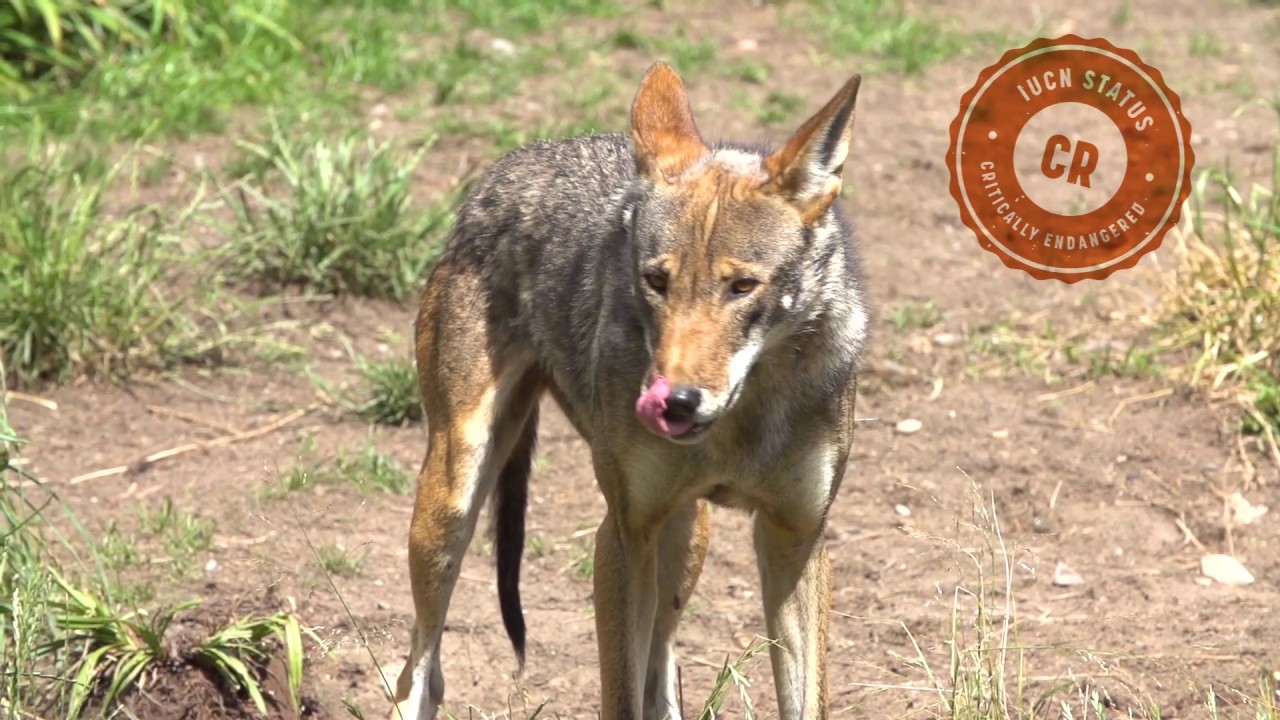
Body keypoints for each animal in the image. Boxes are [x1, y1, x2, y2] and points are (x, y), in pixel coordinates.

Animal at [392, 61, 870, 720]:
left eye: (742, 287)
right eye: (655, 281)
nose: (673, 401)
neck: (745, 418)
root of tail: (513, 163)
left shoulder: (795, 540)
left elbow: (800, 699)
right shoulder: (621, 535)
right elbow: (618, 693)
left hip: (687, 535)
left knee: (660, 664)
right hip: (454, 497)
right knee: (421, 666)